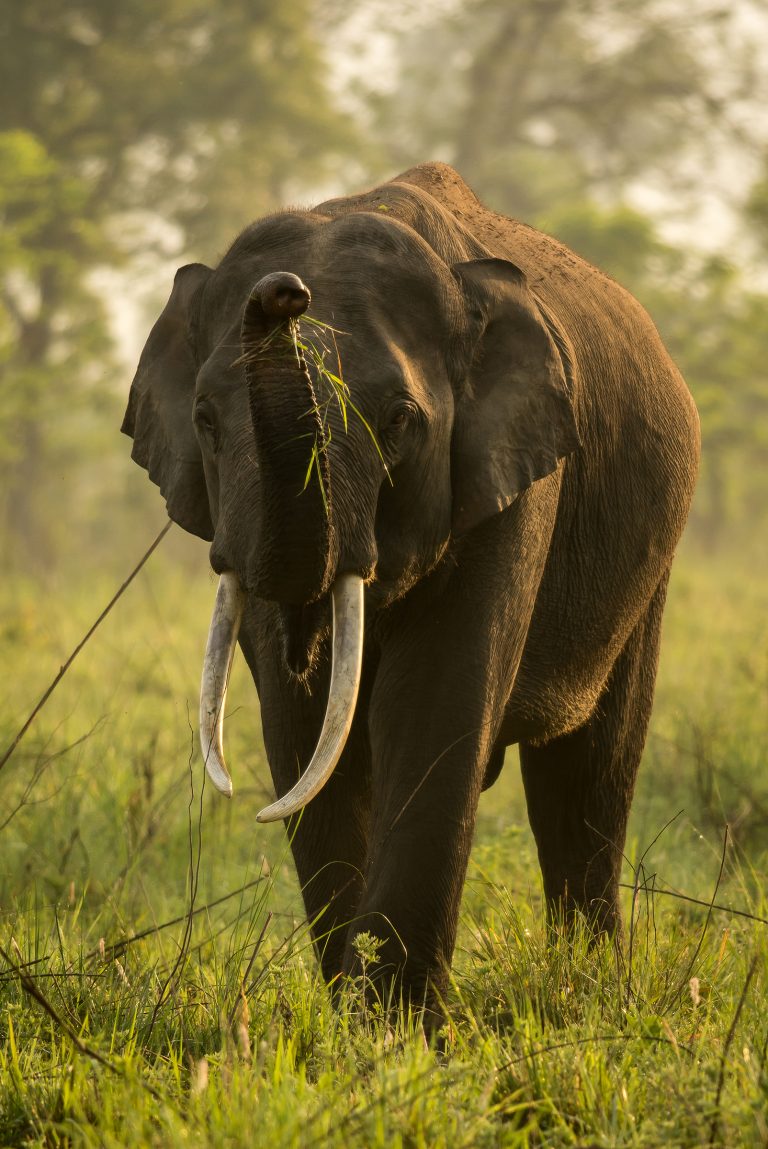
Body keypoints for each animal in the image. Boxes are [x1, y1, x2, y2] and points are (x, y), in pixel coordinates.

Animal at [122, 162, 699, 1019]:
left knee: (590, 771)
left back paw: (591, 986)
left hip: (650, 555)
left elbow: (432, 702)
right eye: (205, 419)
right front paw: (353, 1014)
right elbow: (303, 732)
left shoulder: (514, 477)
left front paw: (393, 1025)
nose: (285, 292)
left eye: (398, 420)